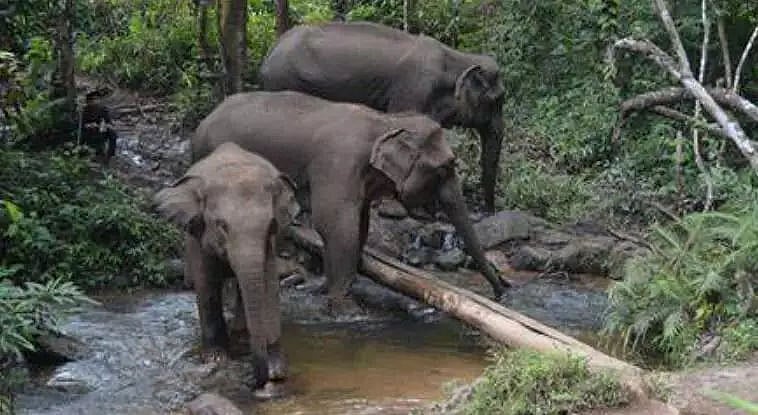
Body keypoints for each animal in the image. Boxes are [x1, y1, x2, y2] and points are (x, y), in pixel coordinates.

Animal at [154, 142, 300, 397]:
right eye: (221, 225)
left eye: (271, 225)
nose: (258, 384)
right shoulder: (199, 234)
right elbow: (207, 286)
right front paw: (216, 359)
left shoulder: (269, 245)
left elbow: (269, 286)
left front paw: (276, 370)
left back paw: (241, 332)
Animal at [191, 91, 509, 314]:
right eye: (445, 168)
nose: (502, 290)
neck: (387, 122)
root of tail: (202, 124)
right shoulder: (337, 164)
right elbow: (335, 224)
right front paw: (347, 309)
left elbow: (361, 225)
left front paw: (327, 289)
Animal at [258, 21, 506, 212]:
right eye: (497, 100)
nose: (488, 211)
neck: (456, 57)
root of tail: (271, 49)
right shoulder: (413, 89)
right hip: (282, 81)